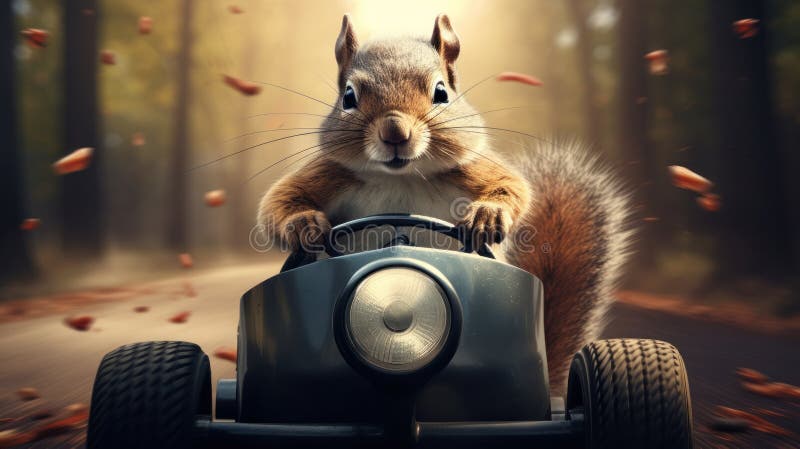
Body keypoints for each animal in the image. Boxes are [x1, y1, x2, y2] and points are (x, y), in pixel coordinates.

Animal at [257, 14, 632, 393]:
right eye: (348, 96)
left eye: (441, 93)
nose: (395, 131)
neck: (401, 177)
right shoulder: (331, 173)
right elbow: (277, 202)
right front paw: (303, 224)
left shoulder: (472, 168)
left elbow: (512, 186)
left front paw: (487, 215)